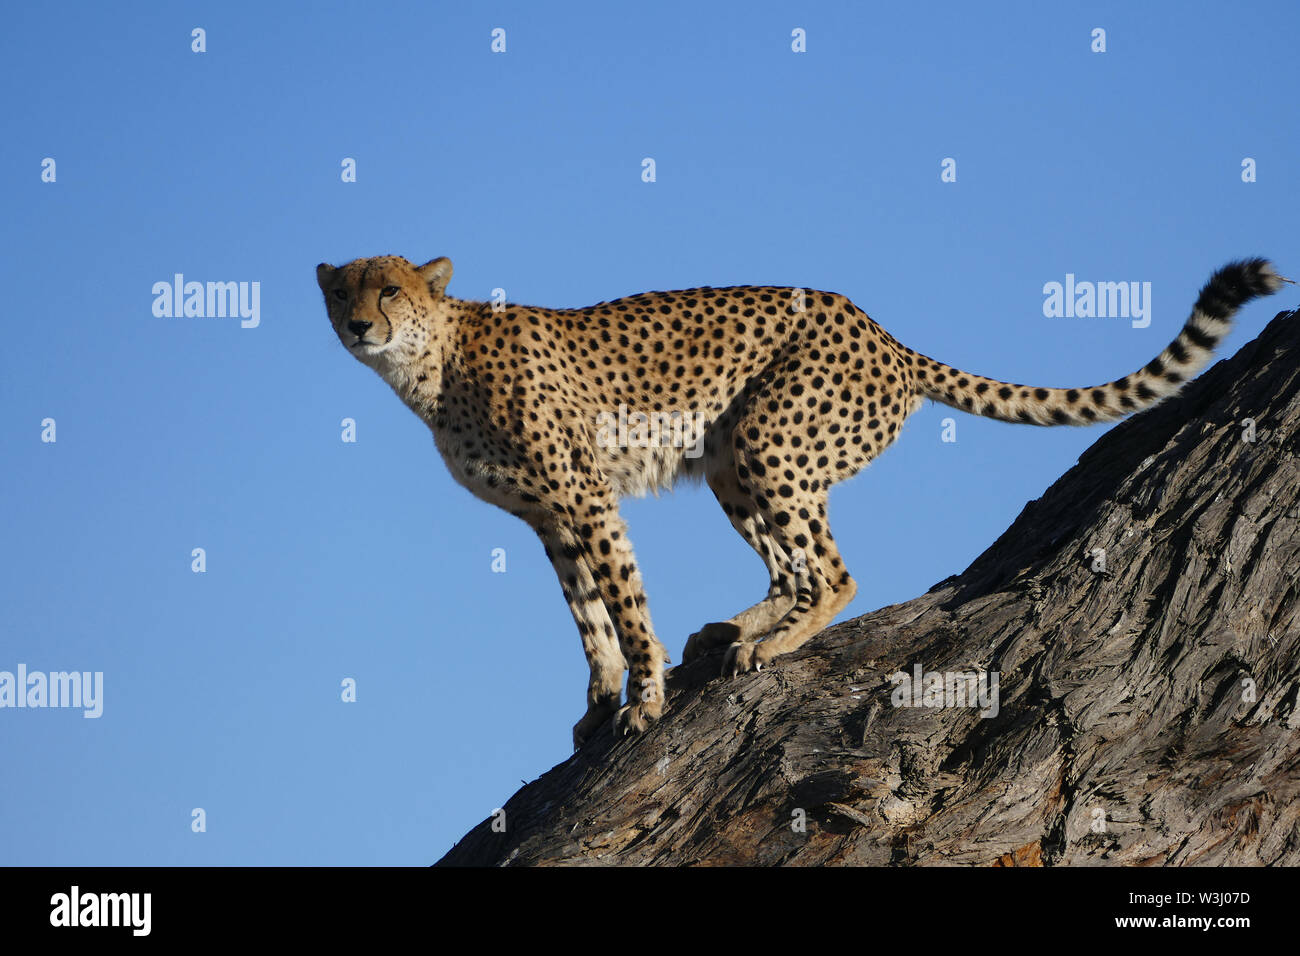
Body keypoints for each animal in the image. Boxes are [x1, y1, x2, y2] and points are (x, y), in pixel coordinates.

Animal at [315, 255, 1288, 748]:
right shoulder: (549, 519)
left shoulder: (584, 496)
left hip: (766, 439)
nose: (360, 325)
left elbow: (624, 606)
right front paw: (597, 702)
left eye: (389, 289)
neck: (432, 365)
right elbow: (587, 617)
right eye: (342, 292)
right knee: (794, 568)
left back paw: (769, 643)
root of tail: (885, 332)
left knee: (832, 573)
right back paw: (736, 629)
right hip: (728, 459)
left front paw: (645, 701)